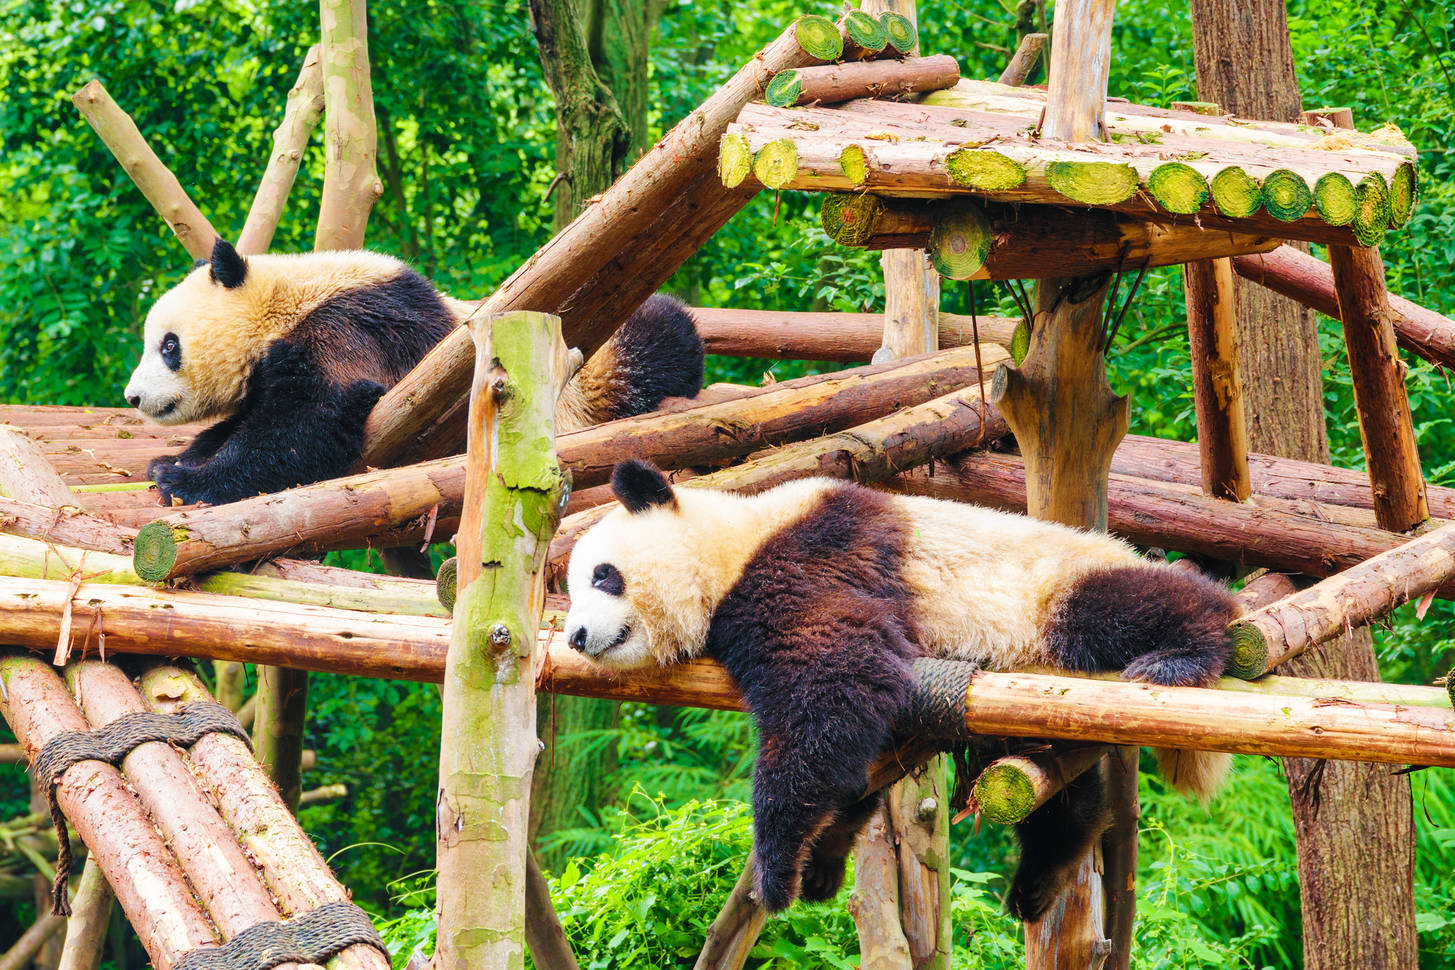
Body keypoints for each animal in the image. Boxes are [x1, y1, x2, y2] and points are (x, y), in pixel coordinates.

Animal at [124, 239, 704, 506]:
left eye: (168, 346)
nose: (133, 397)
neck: (282, 299)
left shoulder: (349, 325)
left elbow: (308, 420)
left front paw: (186, 480)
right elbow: (243, 420)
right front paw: (175, 458)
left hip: (594, 383)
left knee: (661, 334)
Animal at [564, 460, 1236, 920]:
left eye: (604, 576)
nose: (573, 635)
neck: (733, 540)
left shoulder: (807, 560)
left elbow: (833, 685)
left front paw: (778, 869)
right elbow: (860, 752)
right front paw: (822, 861)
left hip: (1051, 592)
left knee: (1119, 606)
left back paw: (1185, 650)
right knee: (1053, 785)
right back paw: (1040, 877)